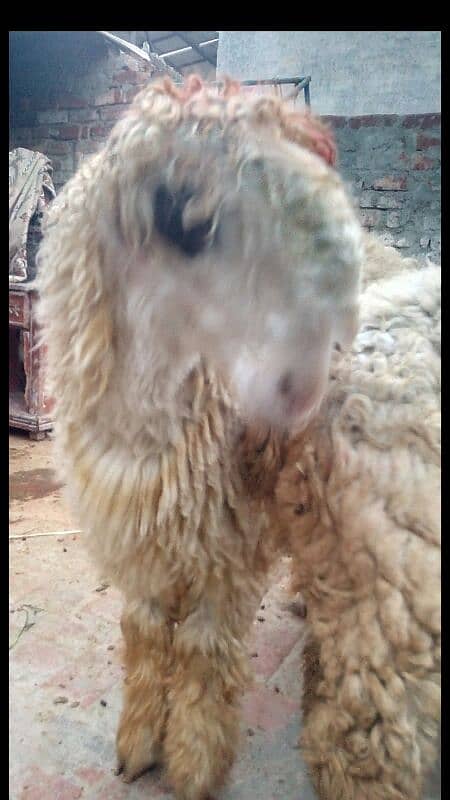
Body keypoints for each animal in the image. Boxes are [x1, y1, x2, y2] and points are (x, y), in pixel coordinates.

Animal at [36, 75, 440, 800]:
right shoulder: (139, 533)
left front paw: (193, 763)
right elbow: (143, 634)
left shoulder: (223, 544)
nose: (303, 379)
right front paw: (138, 745)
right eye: (198, 219)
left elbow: (202, 652)